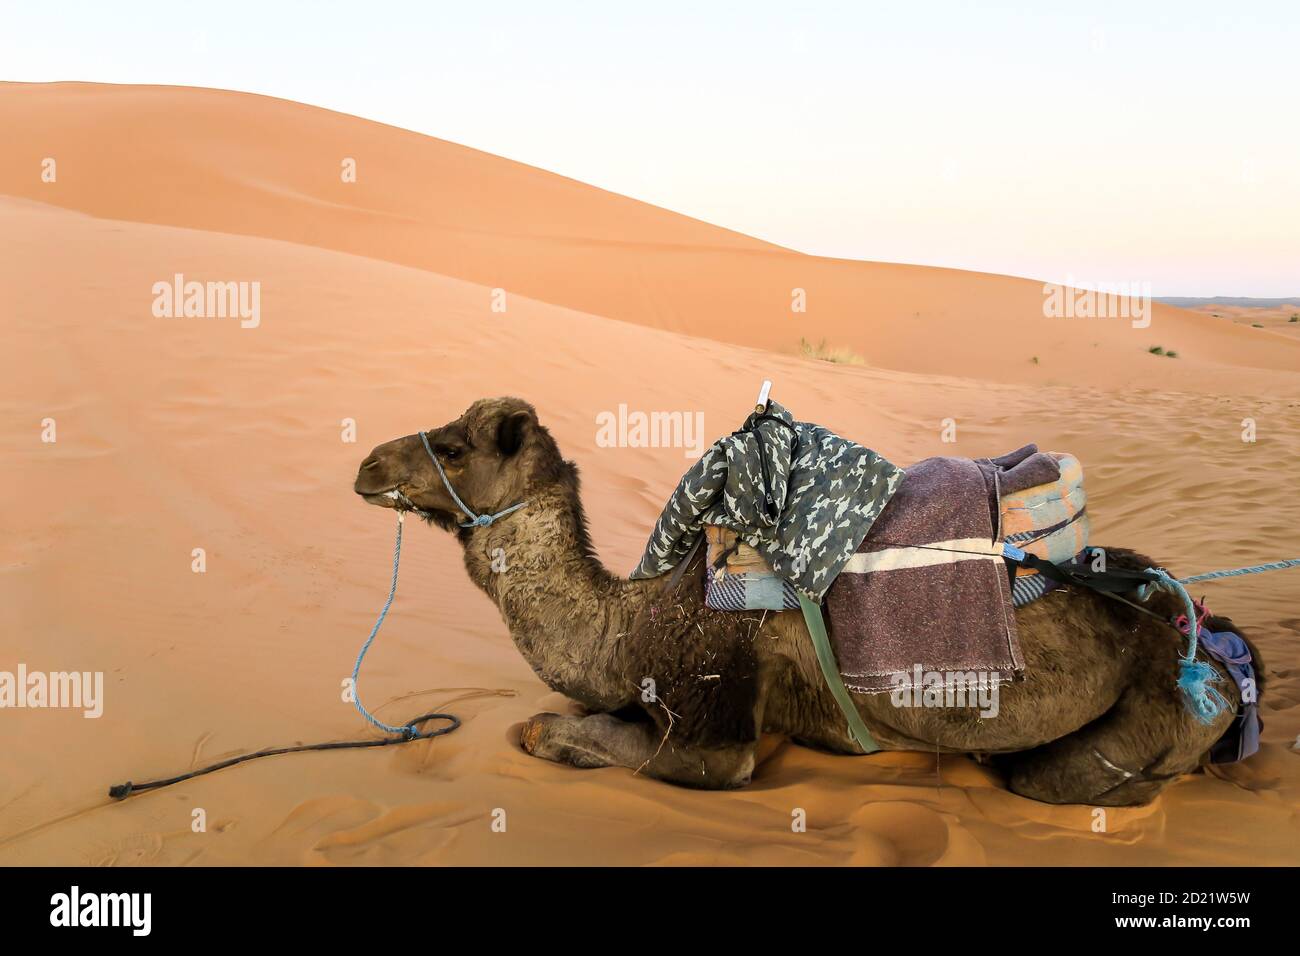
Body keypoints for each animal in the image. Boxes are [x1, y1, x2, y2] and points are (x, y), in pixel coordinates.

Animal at [354, 397, 1259, 805]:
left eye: (453, 447)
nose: (366, 463)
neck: (631, 623)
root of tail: (1210, 643)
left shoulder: (715, 726)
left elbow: (548, 730)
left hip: (1155, 715)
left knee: (1057, 776)